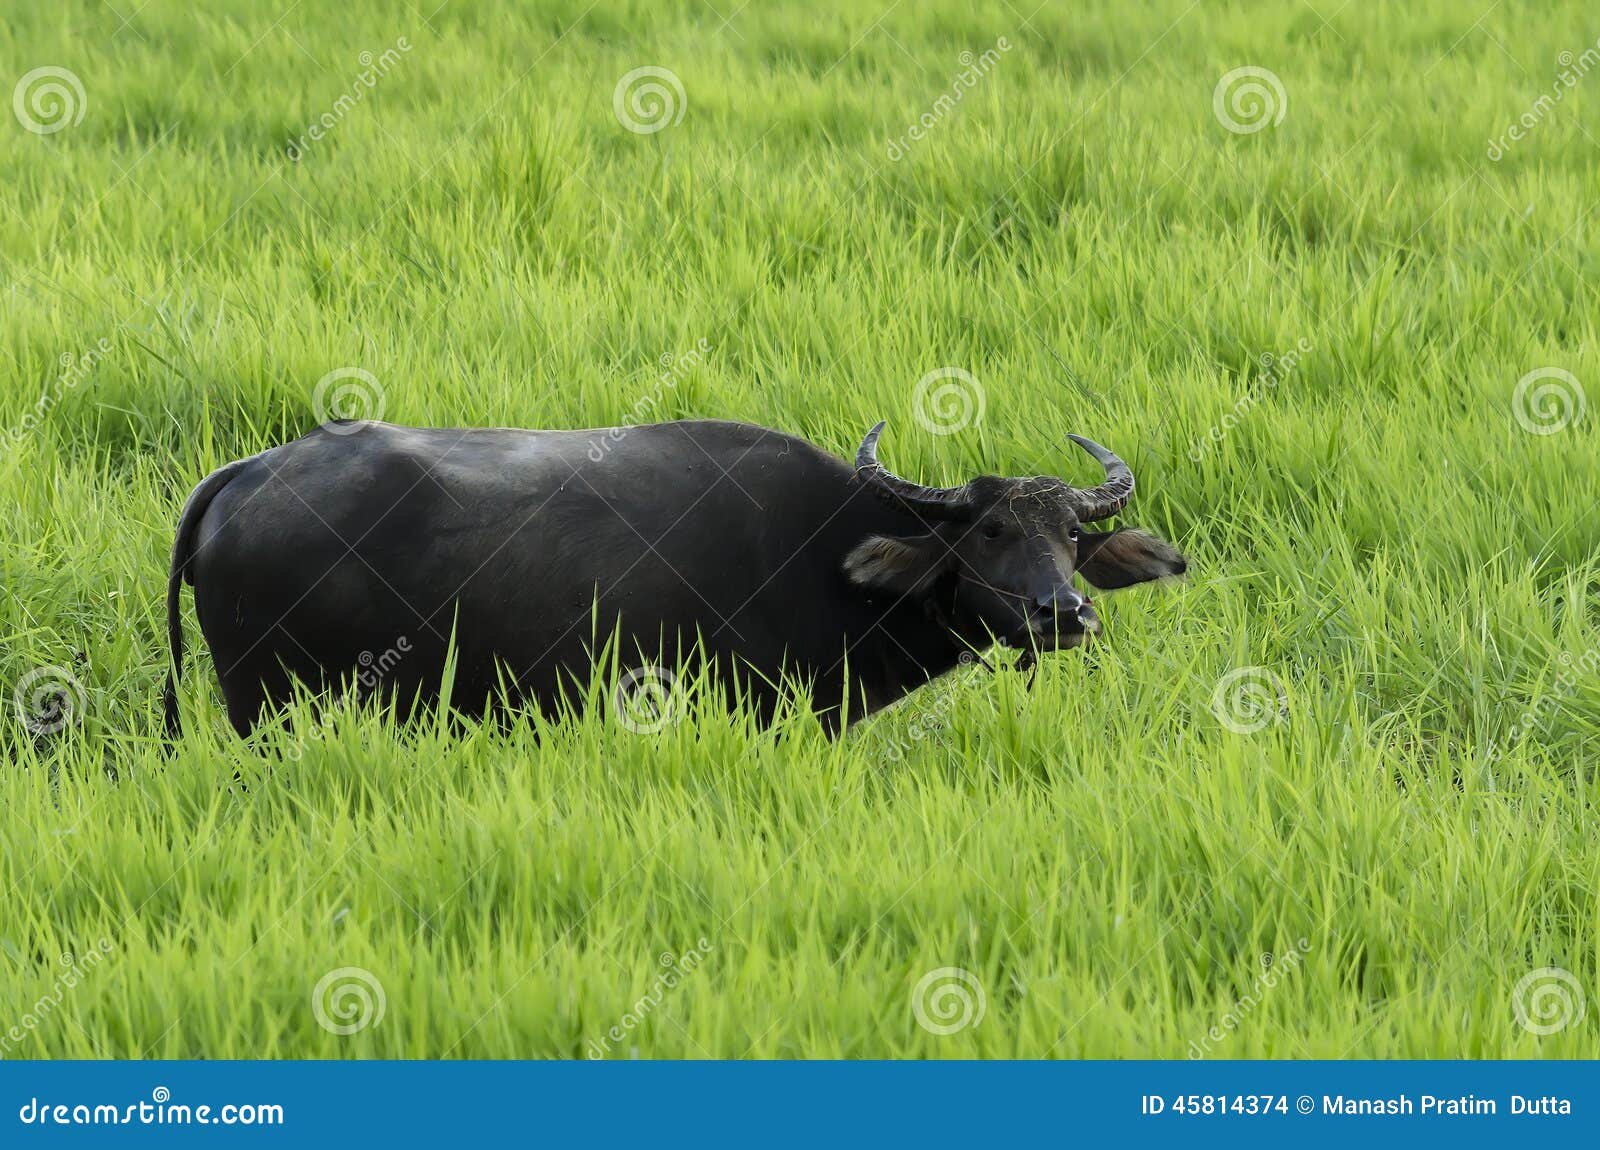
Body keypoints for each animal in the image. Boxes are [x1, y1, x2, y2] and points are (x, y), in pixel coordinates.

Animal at [163, 418, 1184, 737]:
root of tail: (248, 477)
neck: (827, 554)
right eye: (988, 534)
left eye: (1071, 536)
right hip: (264, 707)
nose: (1065, 613)